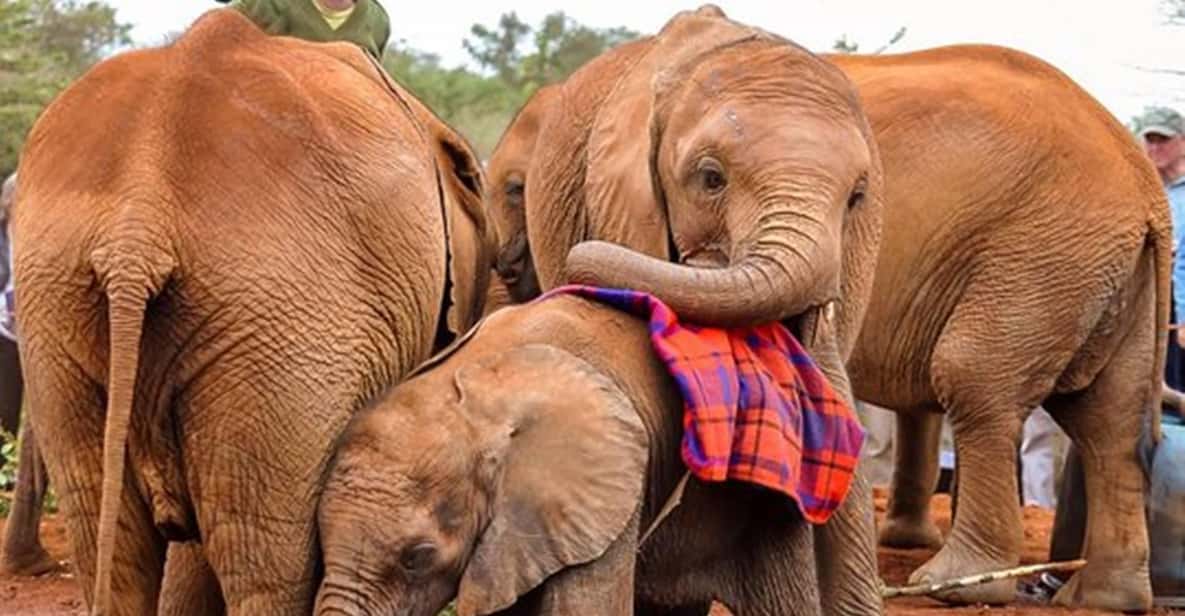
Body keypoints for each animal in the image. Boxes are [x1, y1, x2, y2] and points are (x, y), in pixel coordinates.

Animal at [10, 8, 491, 616]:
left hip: (57, 307)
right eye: (473, 183)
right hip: (281, 333)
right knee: (264, 564)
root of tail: (138, 221)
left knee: (113, 543)